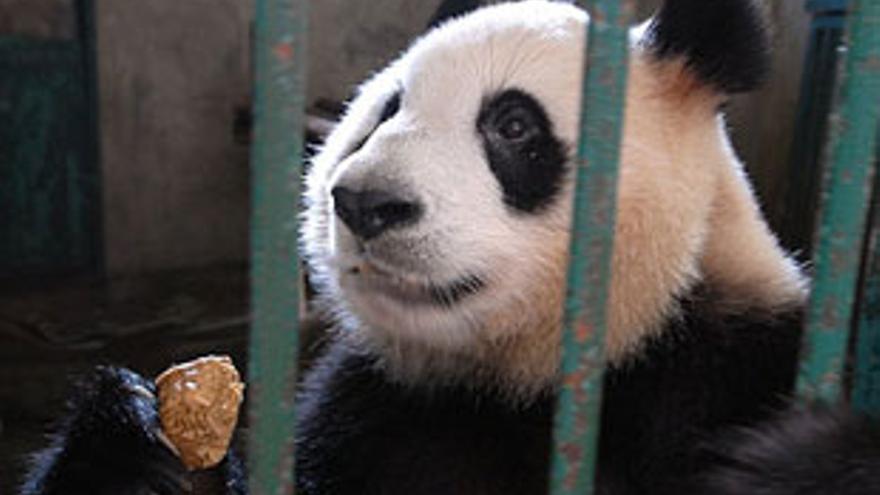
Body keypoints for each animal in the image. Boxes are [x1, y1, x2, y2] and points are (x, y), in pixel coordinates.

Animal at [19, 1, 880, 494]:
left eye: (513, 125)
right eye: (383, 112)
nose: (366, 204)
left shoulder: (726, 361)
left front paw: (794, 463)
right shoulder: (375, 415)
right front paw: (129, 445)